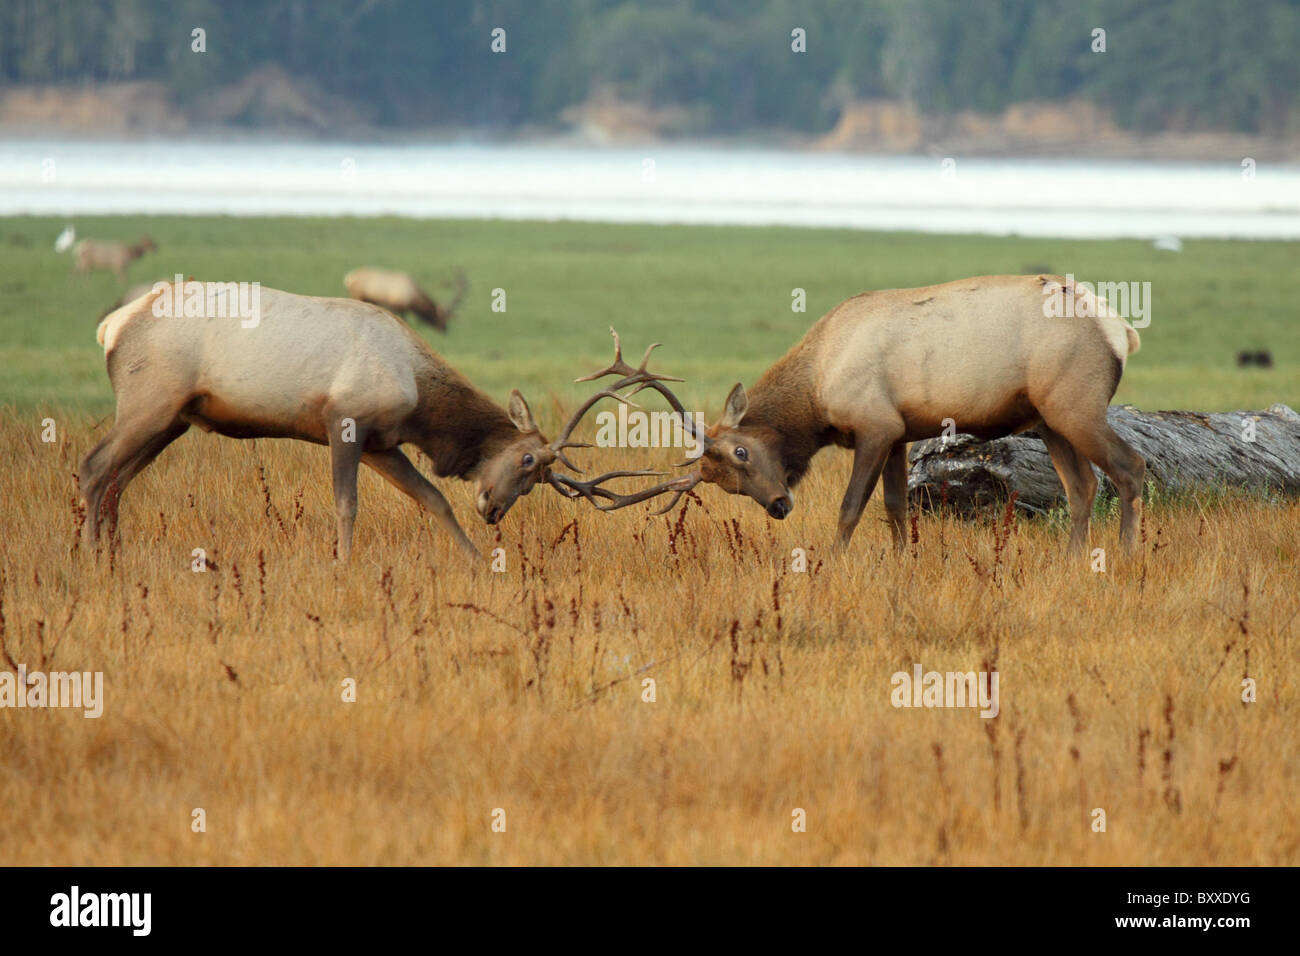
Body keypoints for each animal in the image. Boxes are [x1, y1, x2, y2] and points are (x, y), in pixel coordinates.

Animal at [80, 280, 652, 562]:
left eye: (535, 481)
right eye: (527, 459)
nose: (493, 511)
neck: (418, 395)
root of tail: (111, 326)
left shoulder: (382, 442)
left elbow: (434, 499)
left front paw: (477, 563)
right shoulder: (345, 420)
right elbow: (346, 504)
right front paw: (342, 564)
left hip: (173, 418)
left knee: (118, 481)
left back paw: (113, 554)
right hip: (149, 400)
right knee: (93, 468)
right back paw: (88, 557)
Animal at [559, 275, 1147, 556]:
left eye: (742, 450)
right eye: (725, 482)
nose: (779, 505)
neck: (817, 391)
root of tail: (1121, 330)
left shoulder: (875, 424)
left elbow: (849, 510)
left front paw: (831, 565)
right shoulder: (903, 433)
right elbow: (896, 509)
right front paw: (904, 564)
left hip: (1076, 405)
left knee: (1130, 468)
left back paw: (1122, 558)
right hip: (1049, 420)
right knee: (1081, 488)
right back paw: (1070, 562)